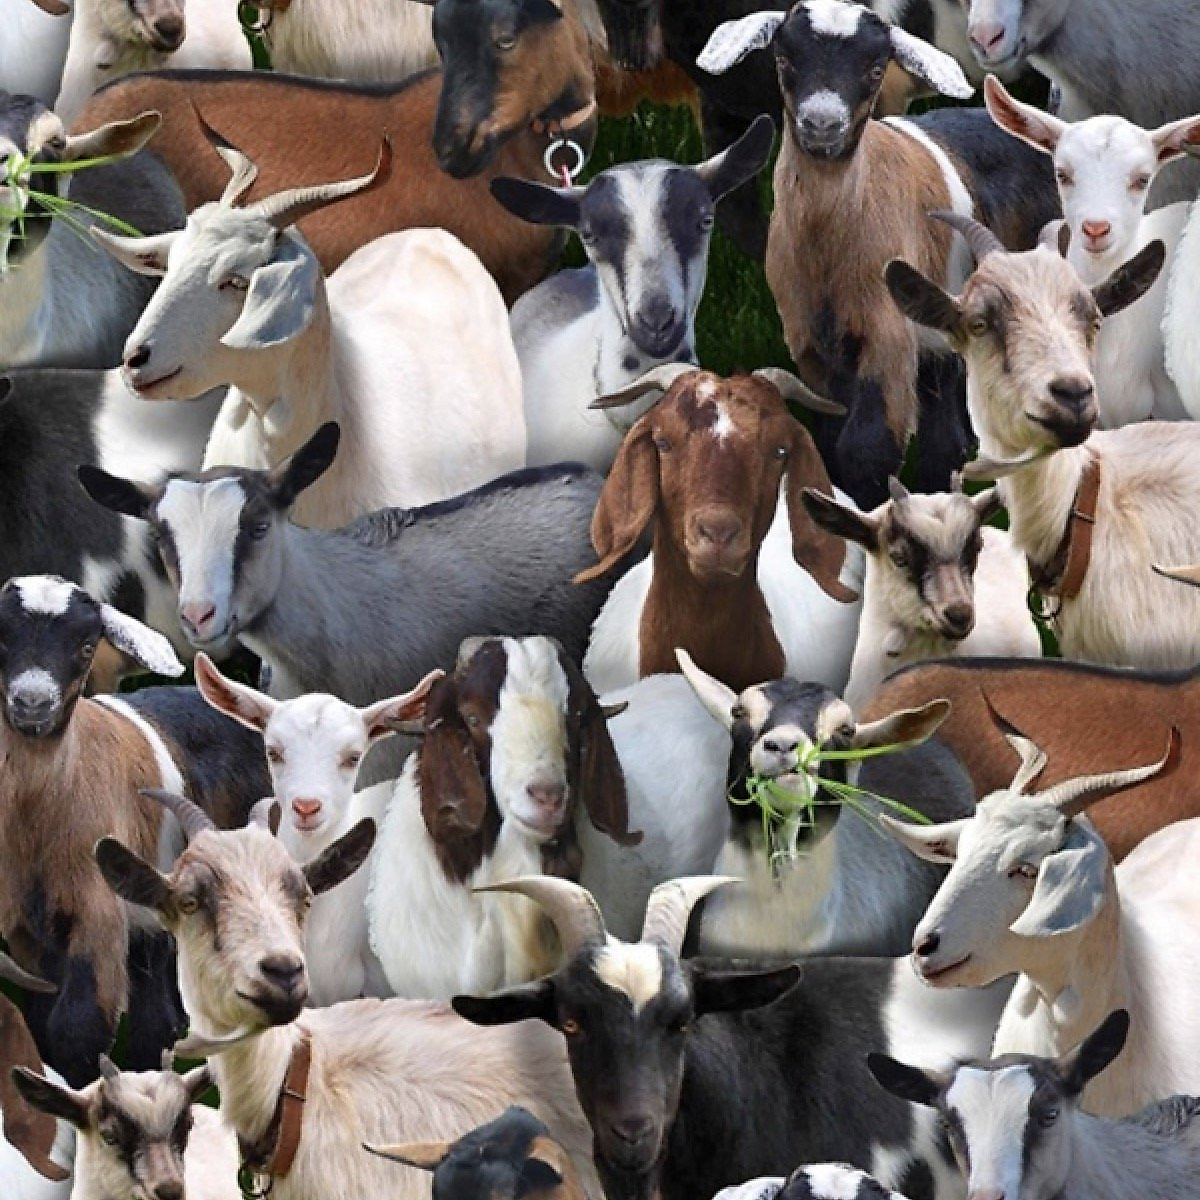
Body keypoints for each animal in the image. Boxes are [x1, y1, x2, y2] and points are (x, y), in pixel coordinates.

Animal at [0, 576, 269, 1085]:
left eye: (86, 646)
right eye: (0, 638)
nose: (31, 703)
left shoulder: (97, 914)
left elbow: (78, 1029)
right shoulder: (28, 933)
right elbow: (44, 1027)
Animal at [698, 1, 1060, 507]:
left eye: (874, 70)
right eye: (784, 60)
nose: (822, 125)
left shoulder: (886, 333)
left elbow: (867, 448)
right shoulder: (811, 342)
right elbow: (831, 443)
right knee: (947, 436)